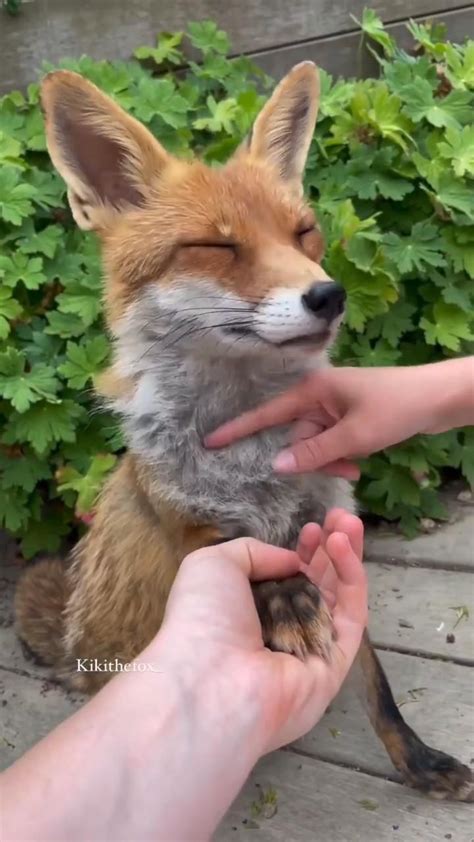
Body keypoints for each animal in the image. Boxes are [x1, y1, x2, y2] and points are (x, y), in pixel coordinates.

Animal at [15, 63, 472, 802]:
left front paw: (419, 762)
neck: (254, 458)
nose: (329, 295)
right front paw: (284, 598)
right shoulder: (185, 522)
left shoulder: (328, 518)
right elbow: (238, 551)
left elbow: (378, 688)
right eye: (216, 245)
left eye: (304, 233)